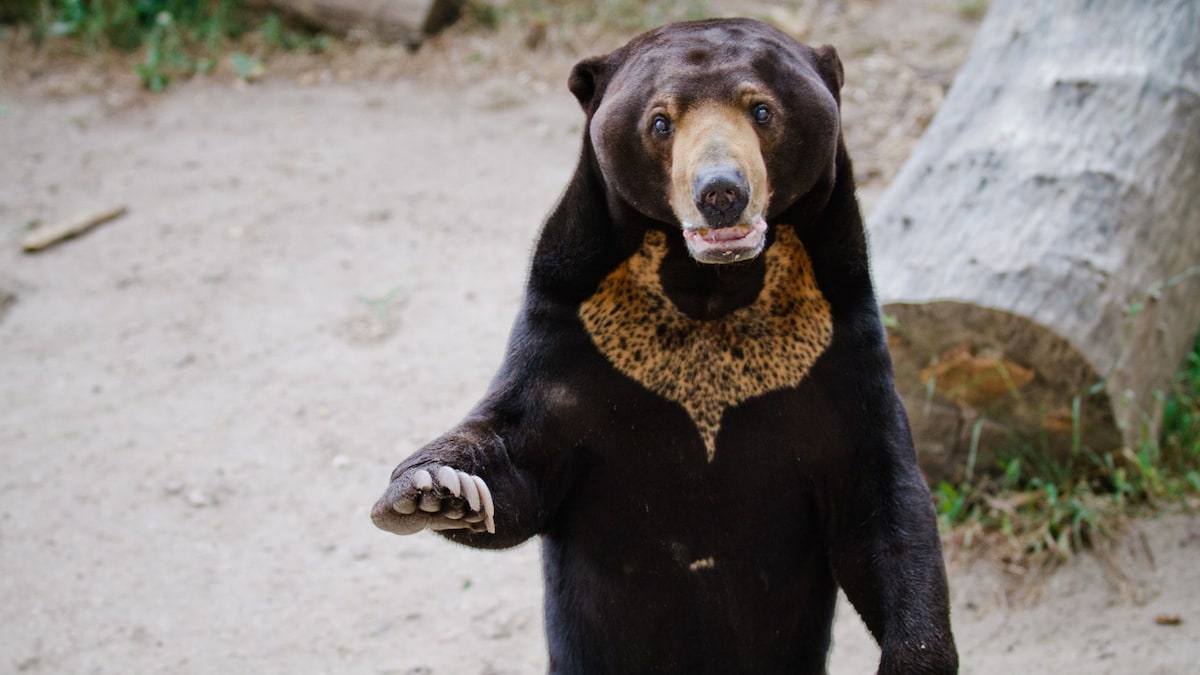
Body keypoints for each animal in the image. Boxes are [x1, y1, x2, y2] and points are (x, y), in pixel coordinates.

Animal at [371, 18, 958, 675]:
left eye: (761, 109)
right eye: (659, 122)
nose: (721, 193)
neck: (709, 288)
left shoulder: (837, 345)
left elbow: (883, 506)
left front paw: (916, 657)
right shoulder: (572, 331)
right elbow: (520, 457)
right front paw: (437, 489)